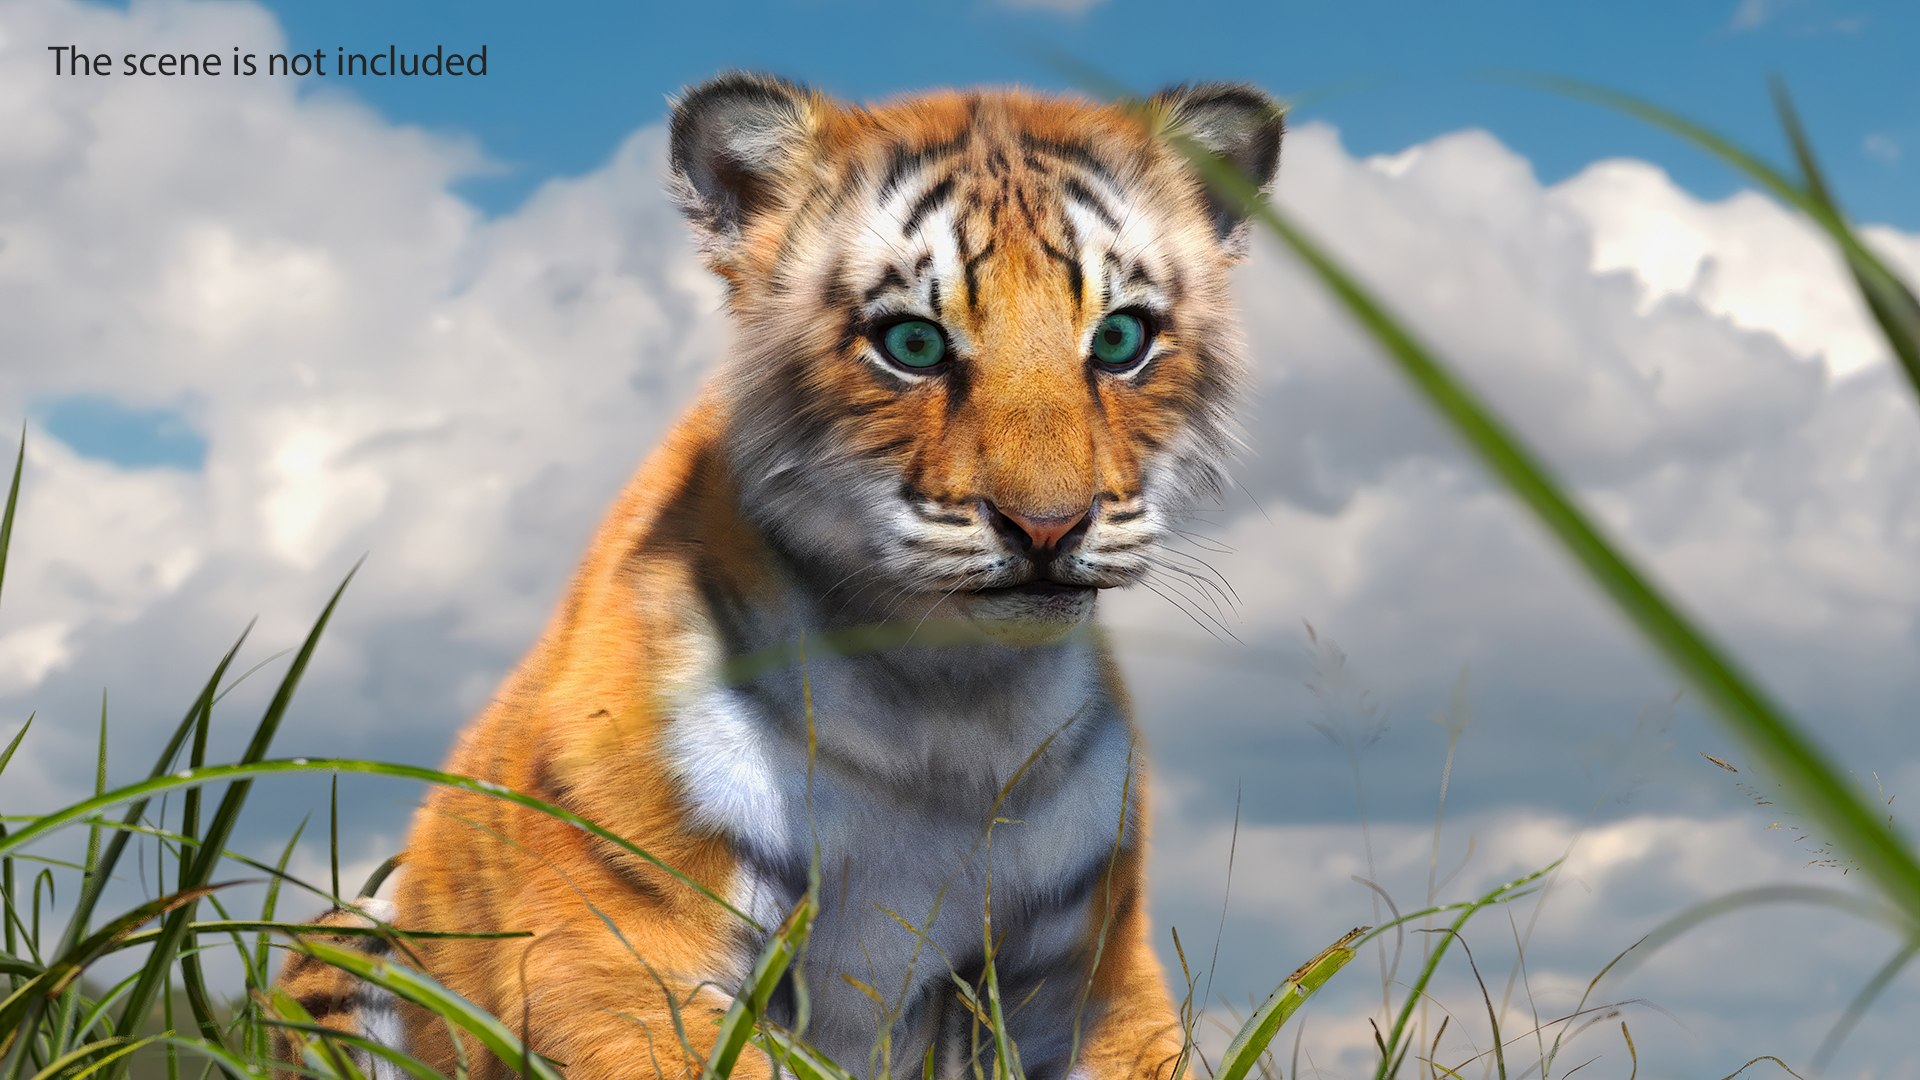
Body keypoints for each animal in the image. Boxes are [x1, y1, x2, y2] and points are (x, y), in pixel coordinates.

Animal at [272, 72, 1282, 1080]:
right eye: (913, 345)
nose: (1048, 525)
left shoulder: (1094, 978)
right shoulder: (613, 948)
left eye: (1119, 340)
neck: (947, 704)